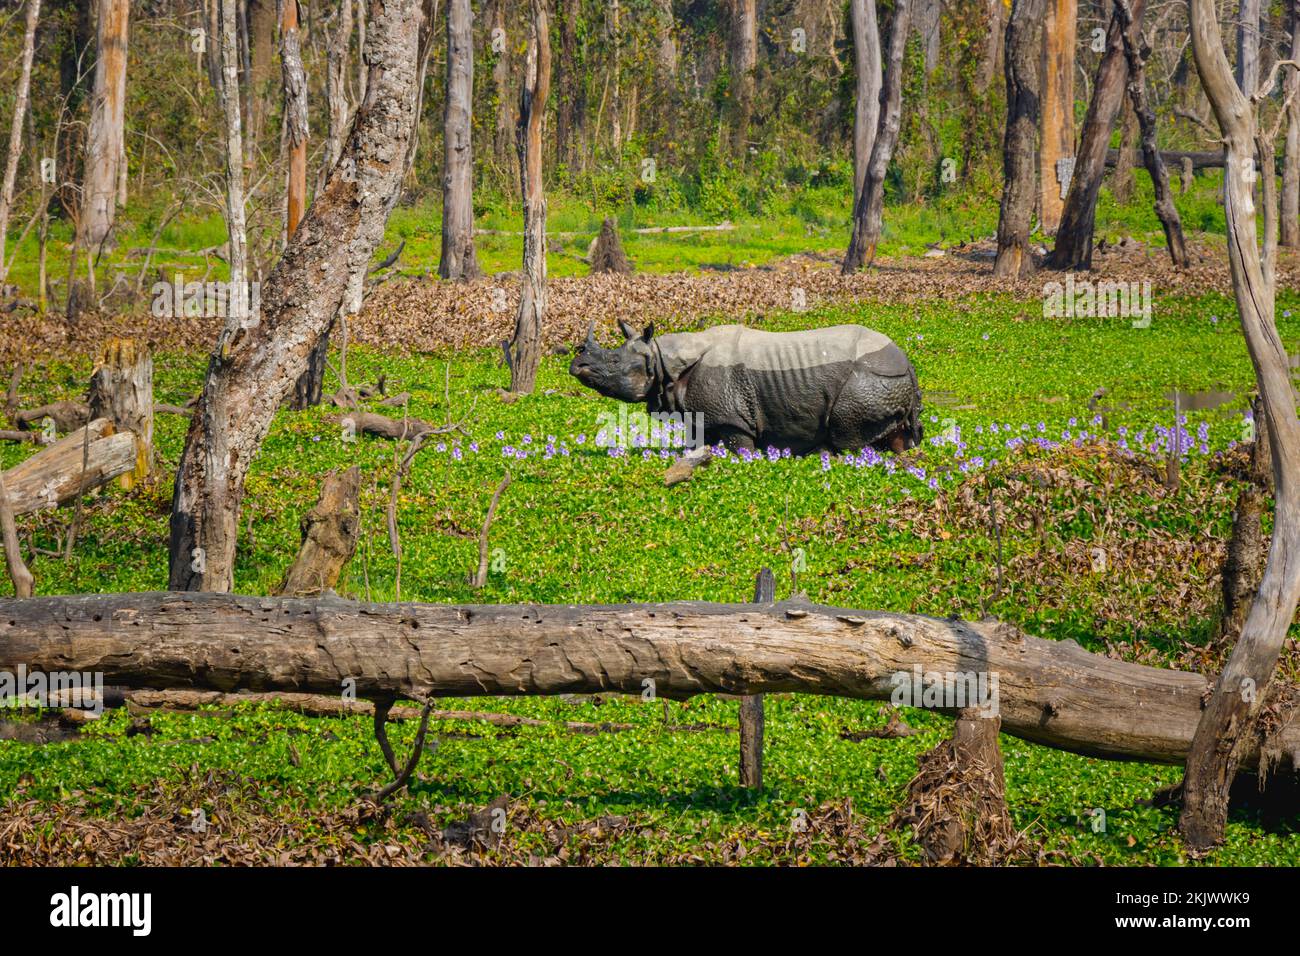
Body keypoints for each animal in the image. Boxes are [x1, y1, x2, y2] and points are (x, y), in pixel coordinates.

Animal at [569, 320, 923, 455]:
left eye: (614, 361)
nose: (576, 365)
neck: (661, 360)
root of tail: (907, 363)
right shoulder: (700, 415)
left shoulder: (733, 419)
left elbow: (741, 449)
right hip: (887, 382)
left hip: (869, 380)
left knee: (845, 437)